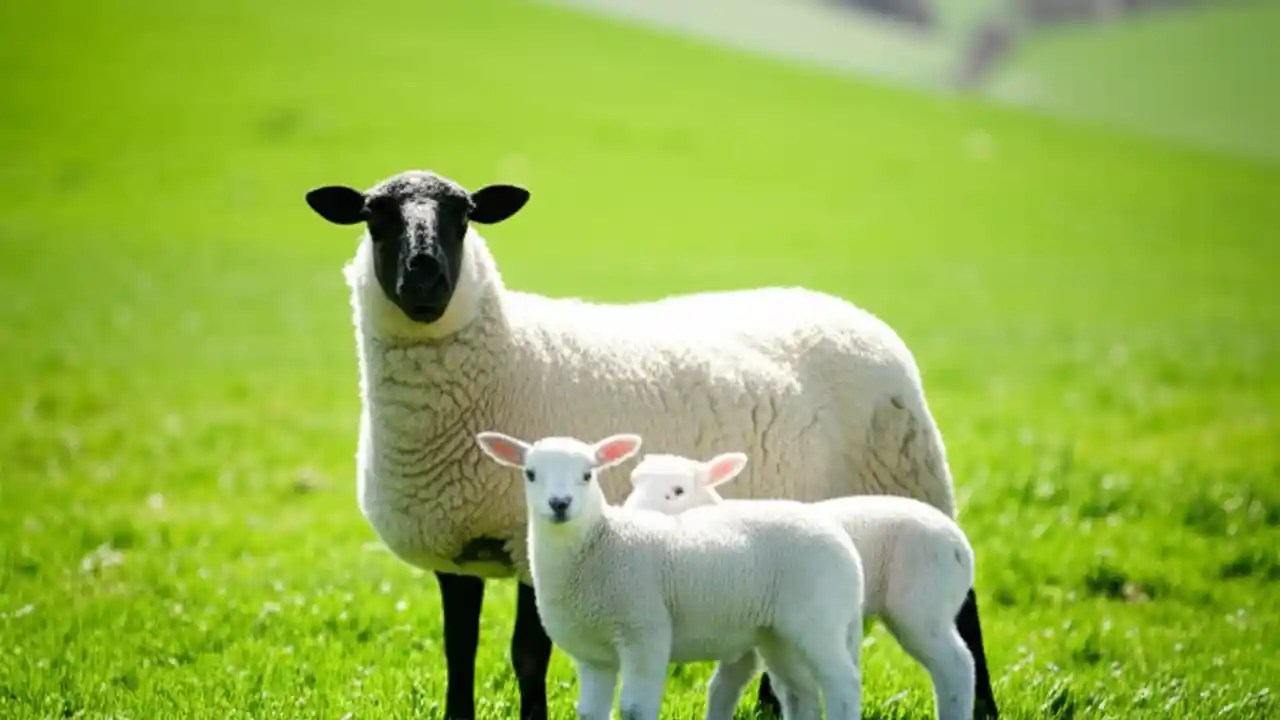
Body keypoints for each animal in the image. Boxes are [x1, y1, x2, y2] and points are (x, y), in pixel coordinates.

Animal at [474, 431, 866, 720]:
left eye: (588, 474)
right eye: (530, 474)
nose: (559, 504)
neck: (600, 544)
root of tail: (840, 537)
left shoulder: (644, 634)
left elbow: (634, 710)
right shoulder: (592, 655)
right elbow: (589, 713)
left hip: (818, 620)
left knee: (843, 683)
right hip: (778, 634)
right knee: (801, 693)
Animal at [624, 452, 982, 720]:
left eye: (678, 490)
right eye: (634, 482)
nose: (632, 515)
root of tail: (961, 547)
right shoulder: (749, 629)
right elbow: (726, 687)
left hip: (920, 606)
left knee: (956, 665)